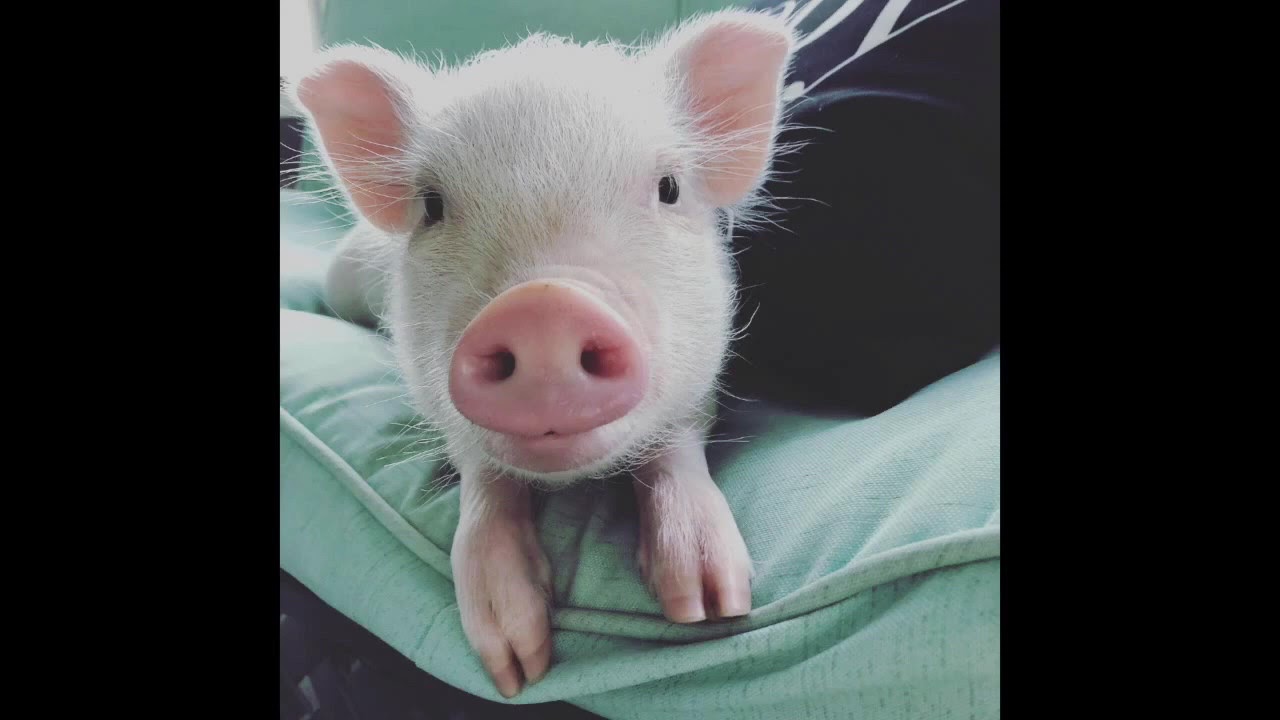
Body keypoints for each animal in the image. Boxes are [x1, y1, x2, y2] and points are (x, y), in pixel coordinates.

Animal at [288, 8, 797, 698]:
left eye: (668, 187)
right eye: (432, 206)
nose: (542, 306)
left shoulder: (703, 378)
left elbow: (674, 448)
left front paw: (711, 608)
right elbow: (484, 480)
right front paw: (516, 668)